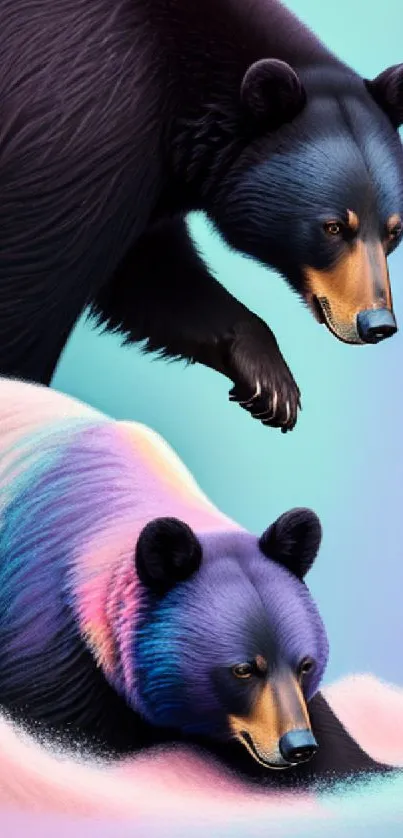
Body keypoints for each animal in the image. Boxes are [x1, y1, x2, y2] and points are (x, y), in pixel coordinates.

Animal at [0, 1, 403, 433]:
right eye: (333, 227)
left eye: (394, 232)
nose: (376, 323)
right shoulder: (79, 132)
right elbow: (32, 284)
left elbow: (152, 276)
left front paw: (270, 383)